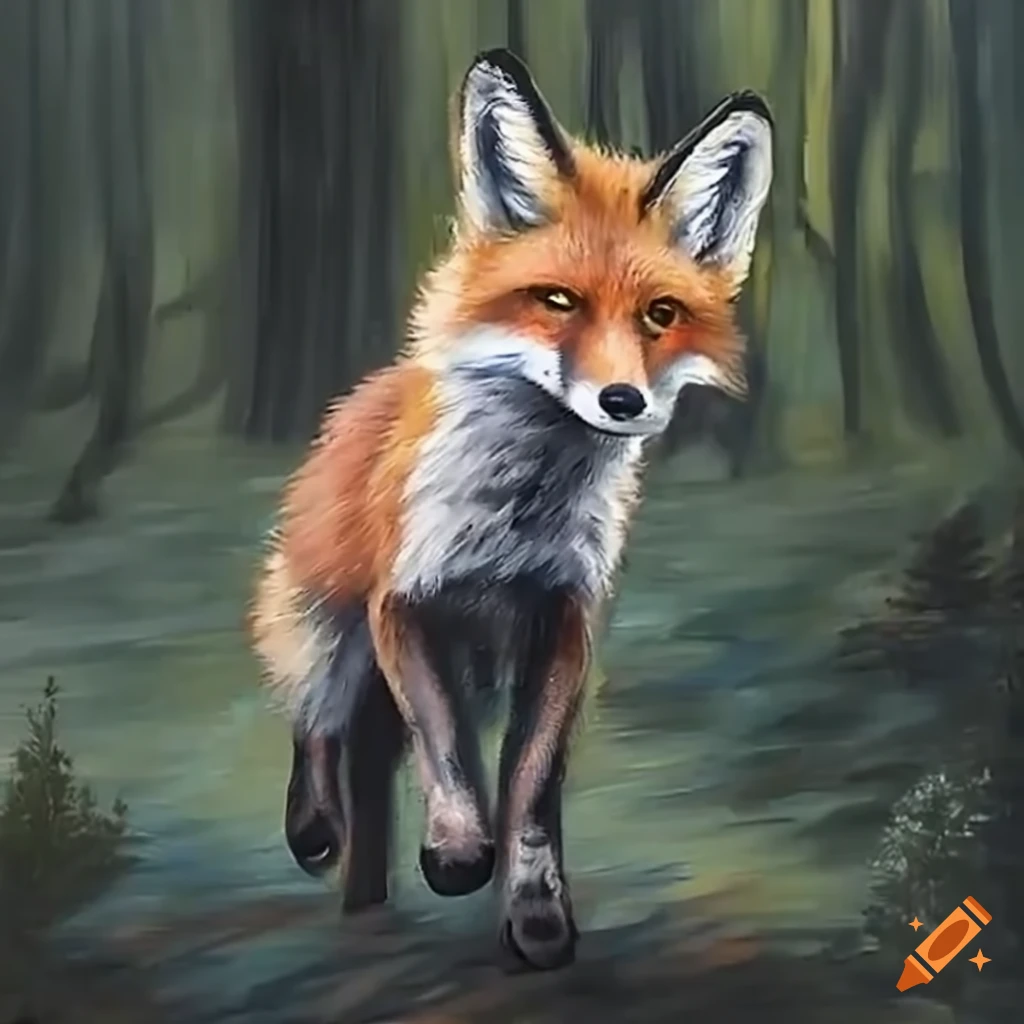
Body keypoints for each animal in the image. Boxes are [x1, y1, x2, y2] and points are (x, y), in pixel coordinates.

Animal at [249, 48, 773, 971]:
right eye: (557, 300)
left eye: (660, 315)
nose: (623, 400)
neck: (516, 519)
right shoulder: (406, 603)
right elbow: (448, 752)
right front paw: (458, 853)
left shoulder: (563, 620)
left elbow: (529, 790)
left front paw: (535, 915)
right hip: (326, 636)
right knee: (316, 722)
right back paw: (314, 829)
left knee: (365, 777)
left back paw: (366, 903)